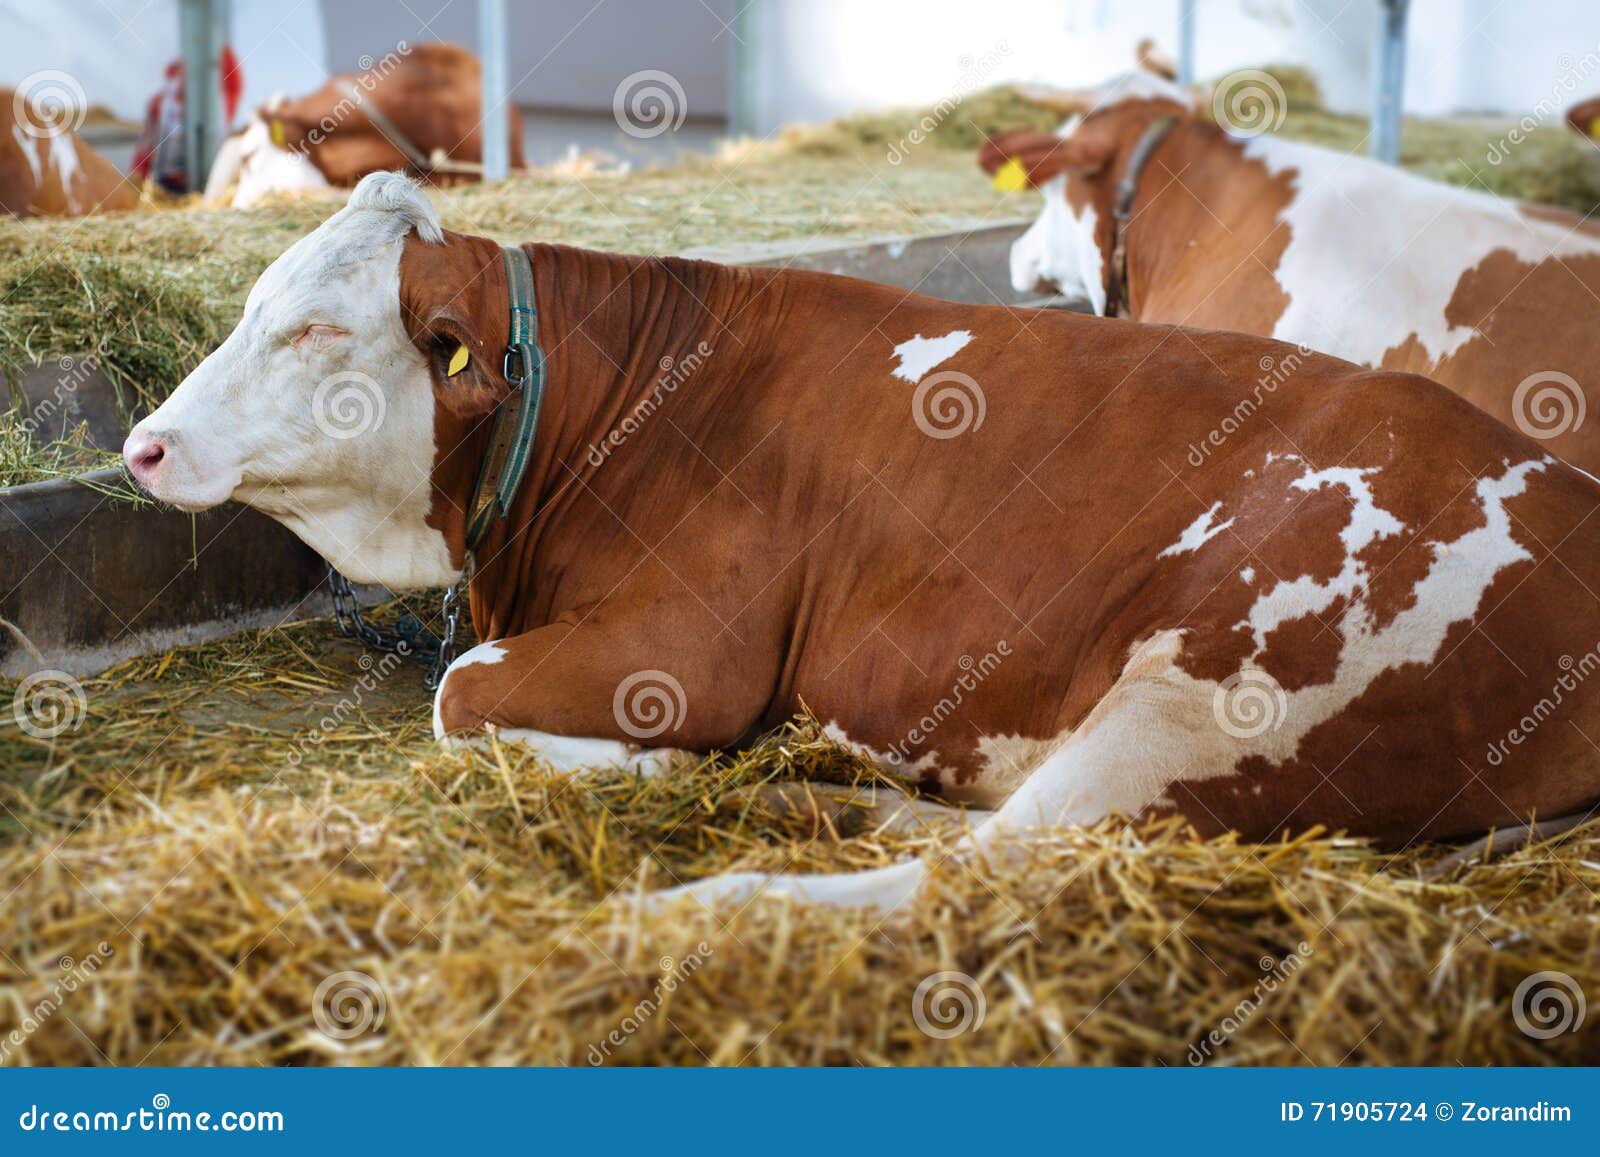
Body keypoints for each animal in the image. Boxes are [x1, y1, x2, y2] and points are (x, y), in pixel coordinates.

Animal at [123, 172, 1600, 911]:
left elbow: (460, 696)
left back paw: (705, 898)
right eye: (253, 299)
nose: (142, 444)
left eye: (318, 326)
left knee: (967, 876)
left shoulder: (683, 650)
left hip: (1217, 683)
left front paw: (654, 770)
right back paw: (818, 796)